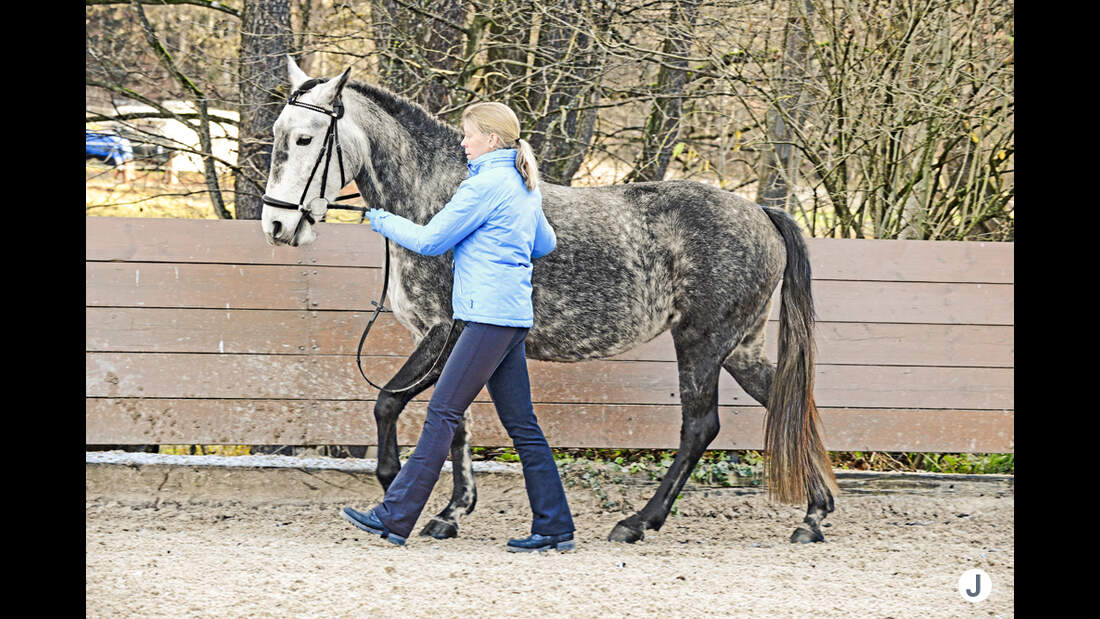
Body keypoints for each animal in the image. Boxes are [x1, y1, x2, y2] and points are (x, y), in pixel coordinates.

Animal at [261, 56, 839, 544]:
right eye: (277, 136)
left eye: (307, 138)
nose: (277, 226)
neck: (437, 200)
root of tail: (760, 213)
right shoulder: (457, 339)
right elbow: (456, 422)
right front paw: (451, 513)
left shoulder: (443, 330)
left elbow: (389, 403)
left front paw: (393, 487)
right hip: (739, 347)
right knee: (789, 402)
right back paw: (813, 515)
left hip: (701, 342)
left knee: (700, 427)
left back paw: (638, 522)